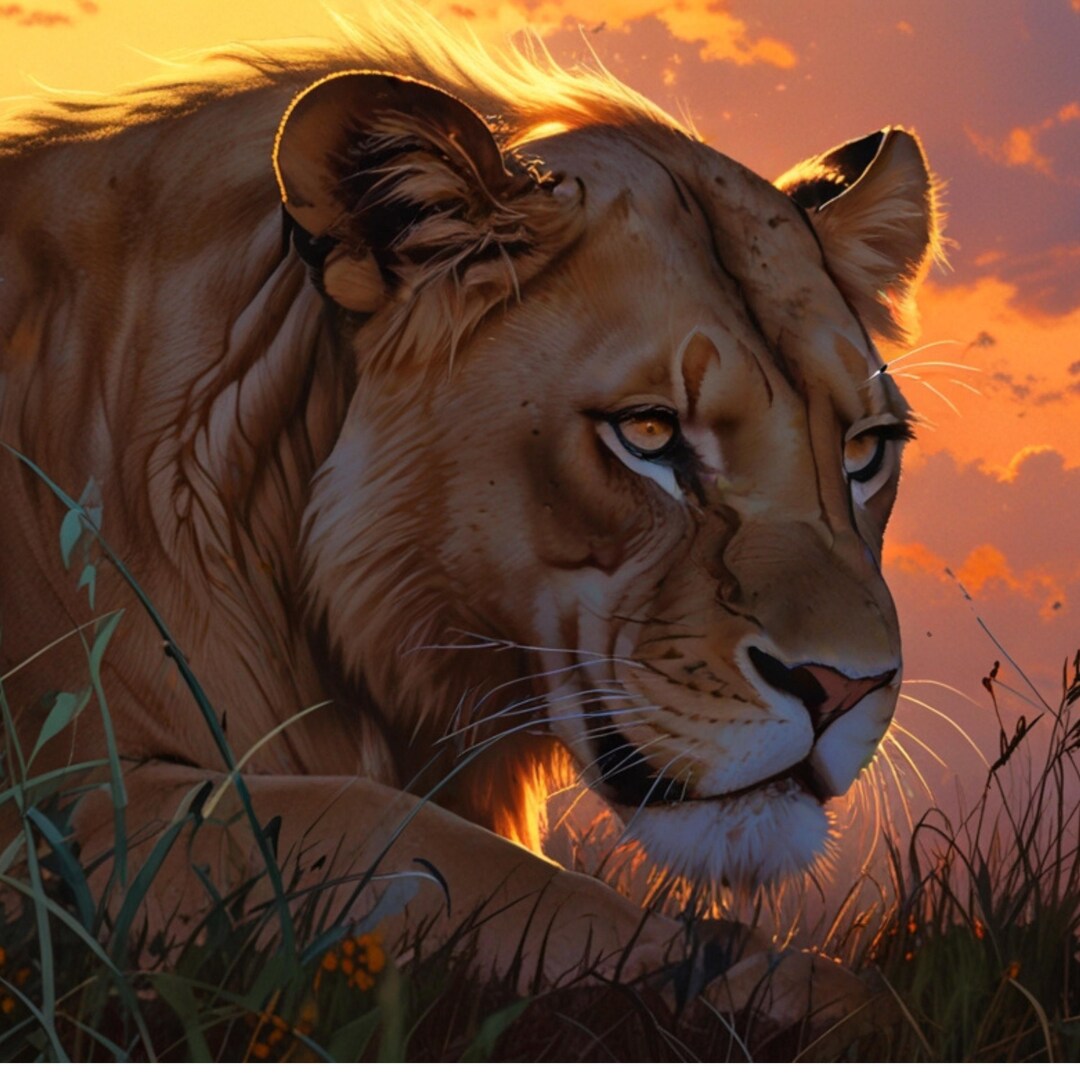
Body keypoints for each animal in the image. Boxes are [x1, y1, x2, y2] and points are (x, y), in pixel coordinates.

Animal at [0, 5, 939, 1027]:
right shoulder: (61, 814)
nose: (842, 688)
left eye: (864, 451)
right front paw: (829, 997)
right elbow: (420, 851)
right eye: (649, 433)